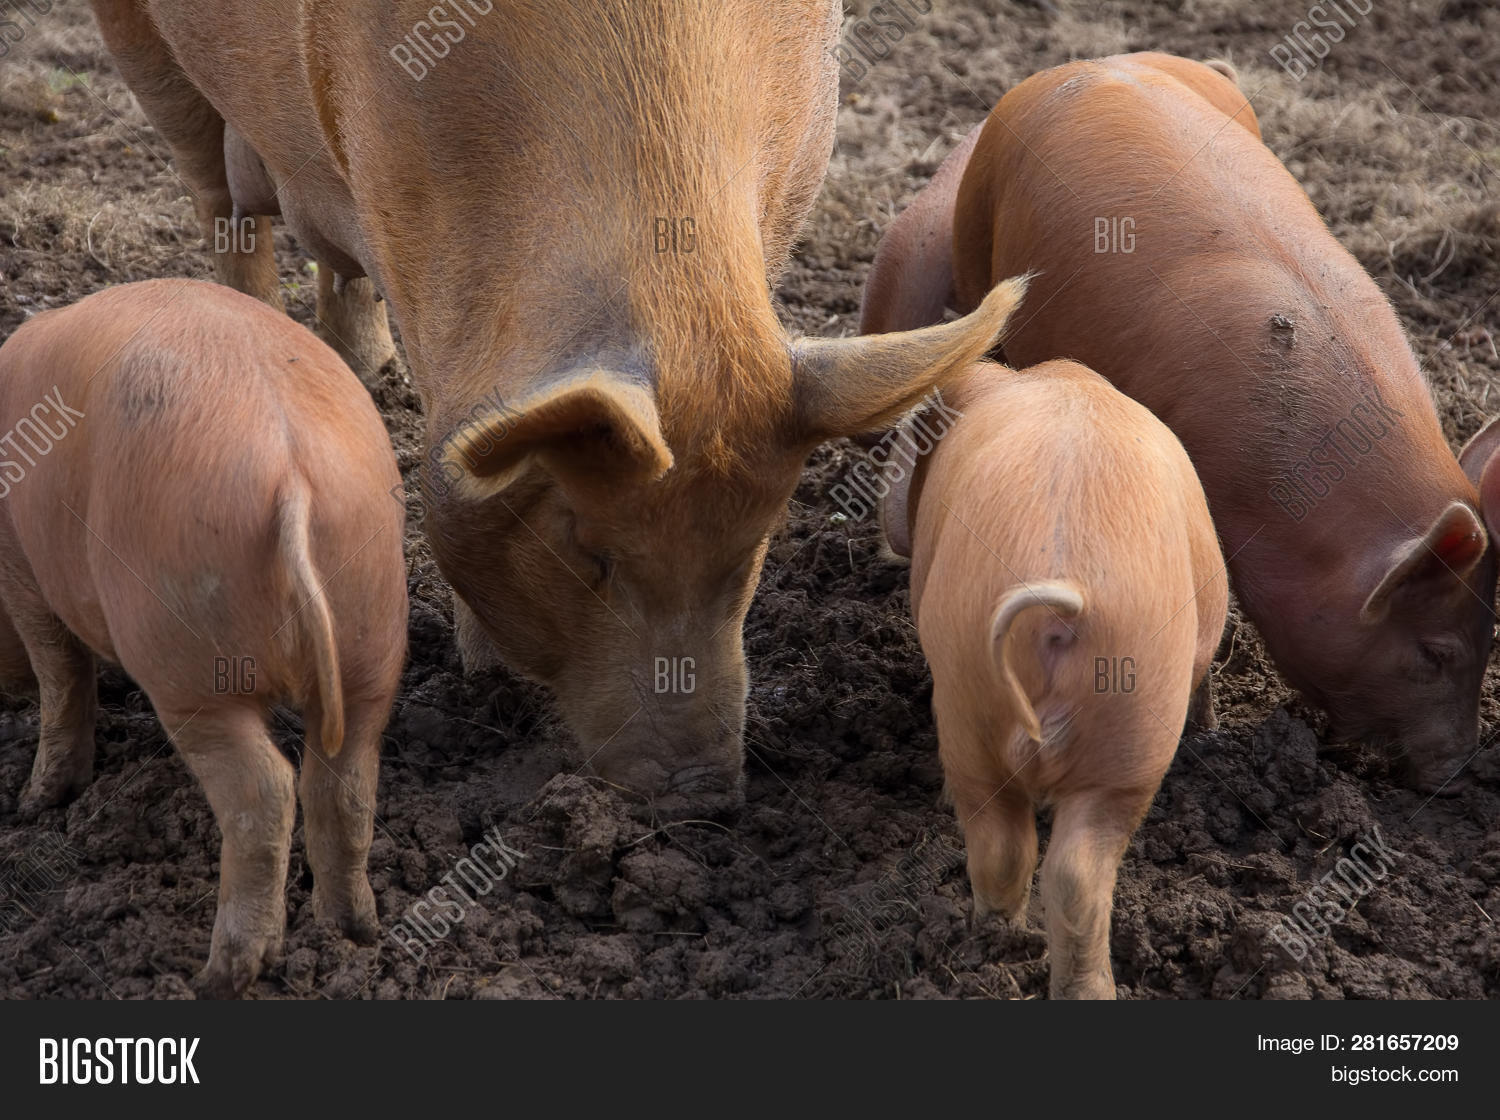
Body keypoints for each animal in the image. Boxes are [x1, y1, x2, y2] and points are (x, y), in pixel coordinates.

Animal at [0, 280, 408, 997]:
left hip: (190, 662)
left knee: (265, 791)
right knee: (345, 783)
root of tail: (289, 468)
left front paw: (33, 804)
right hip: (374, 632)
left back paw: (219, 976)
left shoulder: (23, 573)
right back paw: (353, 936)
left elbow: (60, 676)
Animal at [88, 0, 1027, 811]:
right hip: (141, 47)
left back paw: (358, 360)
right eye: (588, 548)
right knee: (219, 199)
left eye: (754, 546)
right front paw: (484, 673)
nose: (697, 798)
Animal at [883, 359, 1227, 999]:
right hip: (1130, 729)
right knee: (1072, 874)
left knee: (1010, 850)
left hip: (970, 692)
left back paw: (998, 947)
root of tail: (1059, 594)